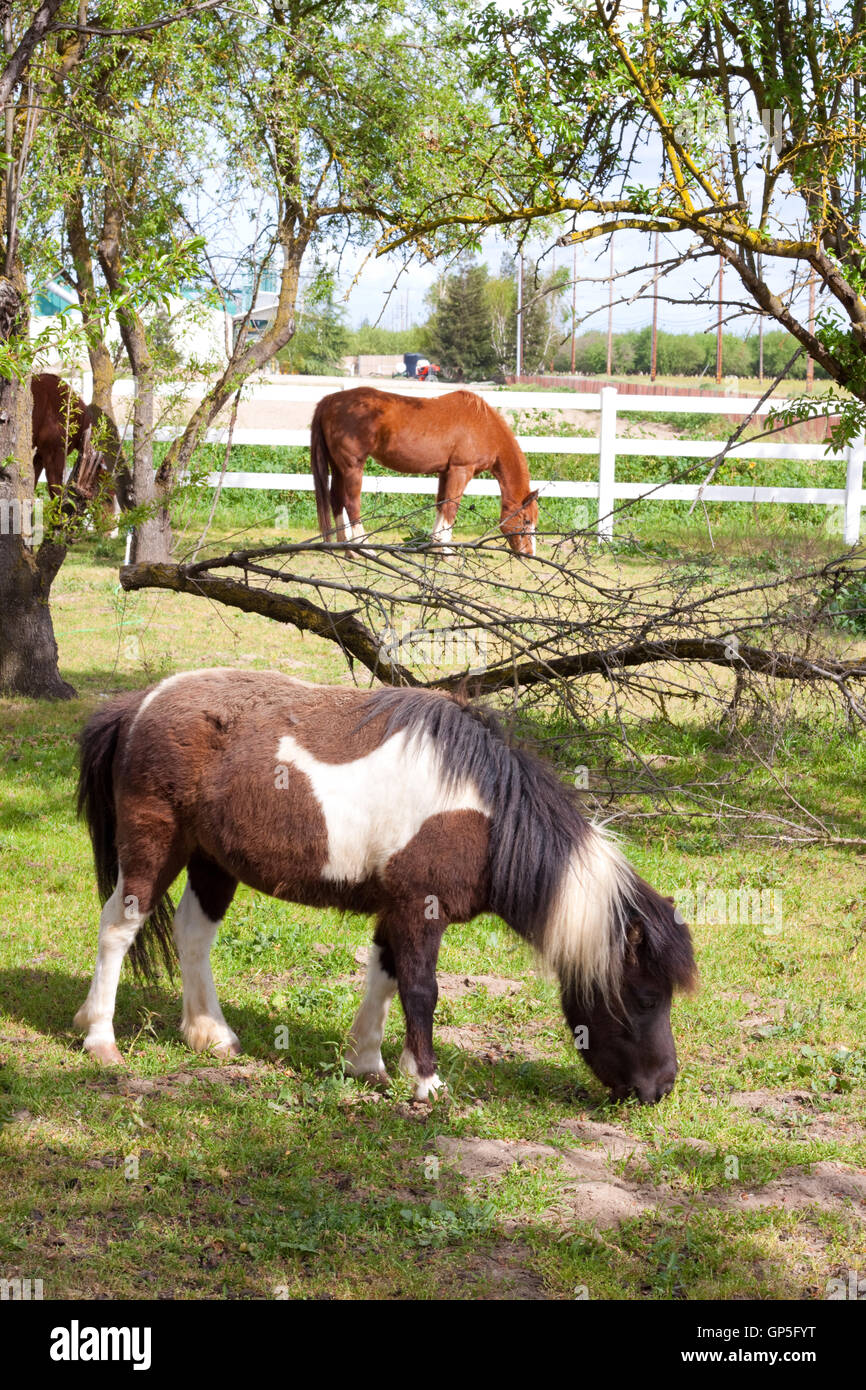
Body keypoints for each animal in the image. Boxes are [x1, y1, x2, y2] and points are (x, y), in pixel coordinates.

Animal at [74, 669, 696, 1103]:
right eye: (645, 997)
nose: (662, 1087)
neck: (485, 813)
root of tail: (139, 705)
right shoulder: (421, 910)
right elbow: (421, 990)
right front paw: (426, 1083)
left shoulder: (395, 908)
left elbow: (384, 976)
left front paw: (366, 1063)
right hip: (155, 846)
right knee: (118, 928)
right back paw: (100, 1040)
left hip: (211, 862)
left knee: (193, 936)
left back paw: (212, 1035)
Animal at [310, 386, 539, 555]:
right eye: (526, 520)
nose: (529, 553)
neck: (485, 425)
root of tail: (330, 400)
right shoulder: (461, 471)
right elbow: (451, 507)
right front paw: (446, 551)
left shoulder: (445, 472)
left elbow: (441, 504)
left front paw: (435, 545)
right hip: (352, 467)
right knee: (351, 503)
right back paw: (361, 548)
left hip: (338, 466)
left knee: (336, 498)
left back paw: (343, 545)